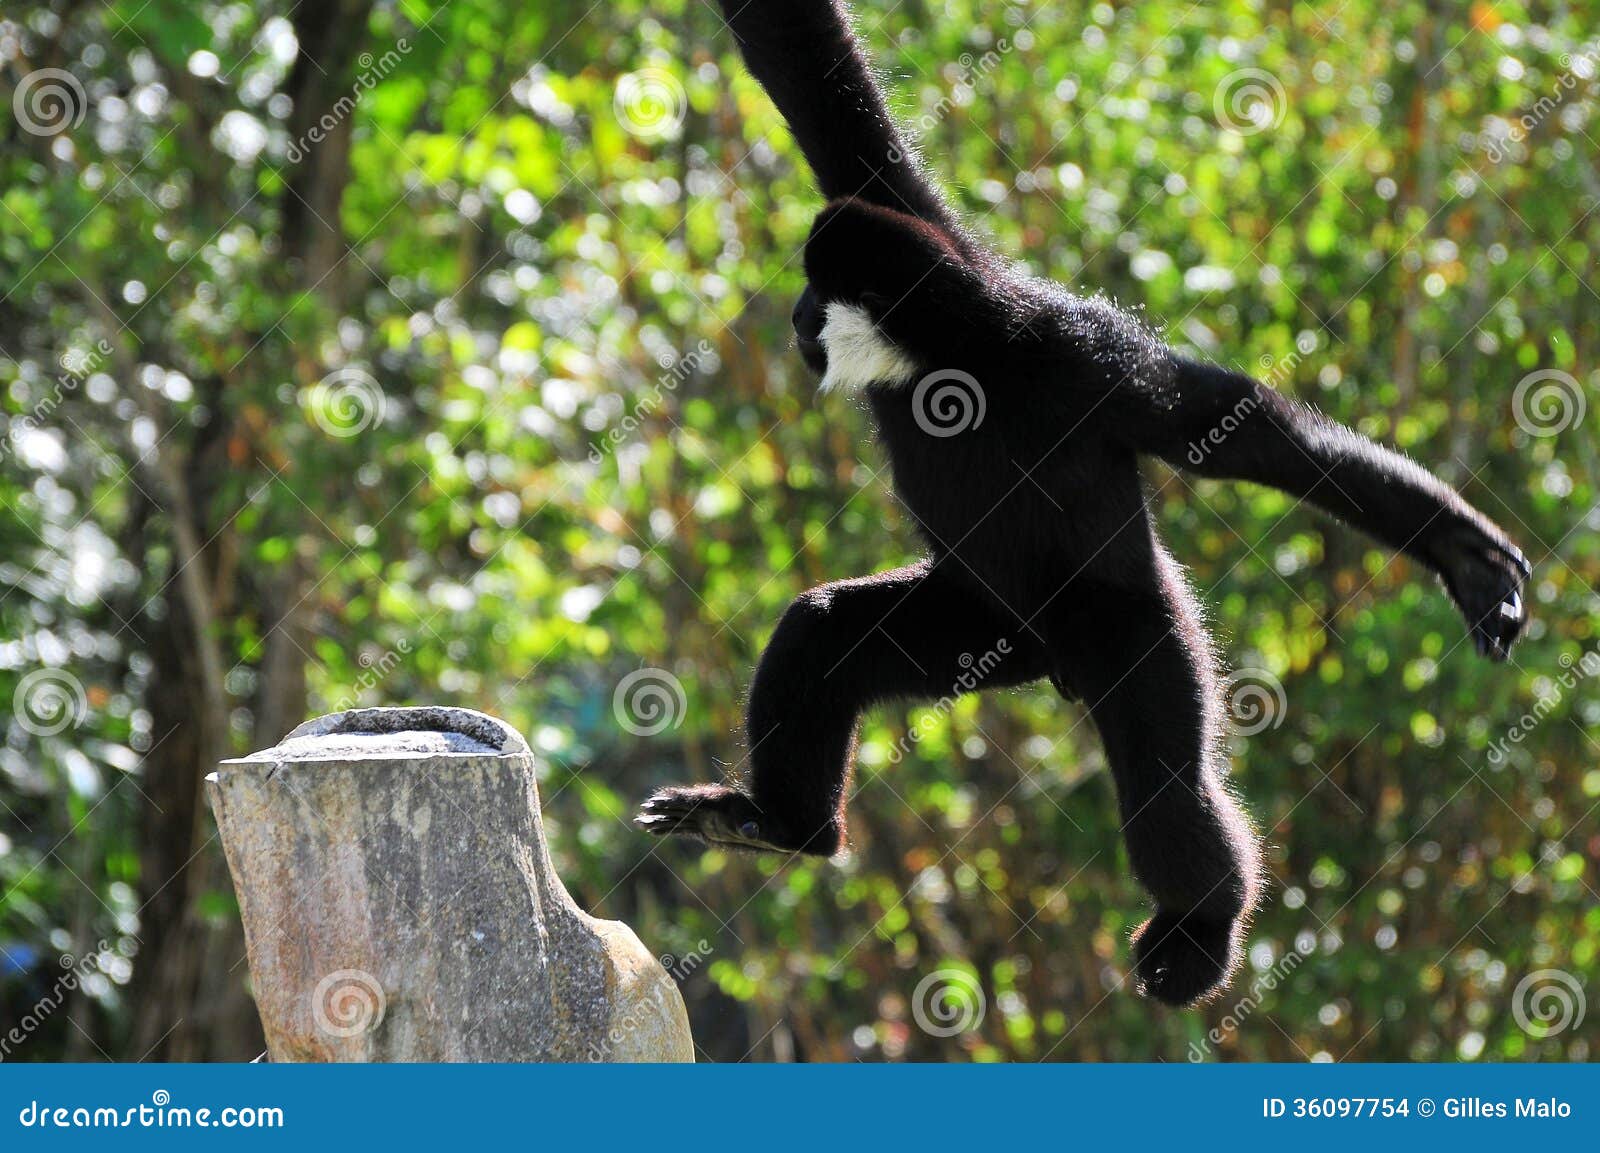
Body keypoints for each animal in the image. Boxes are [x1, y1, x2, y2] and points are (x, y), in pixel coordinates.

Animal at [633, 1, 1531, 1007]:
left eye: (815, 294)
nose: (793, 317)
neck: (955, 356)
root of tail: (1040, 654)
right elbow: (815, 83)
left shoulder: (1083, 353)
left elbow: (1223, 424)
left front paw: (1464, 556)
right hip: (979, 623)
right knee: (825, 630)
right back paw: (786, 826)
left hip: (1132, 620)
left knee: (1165, 781)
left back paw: (1202, 927)